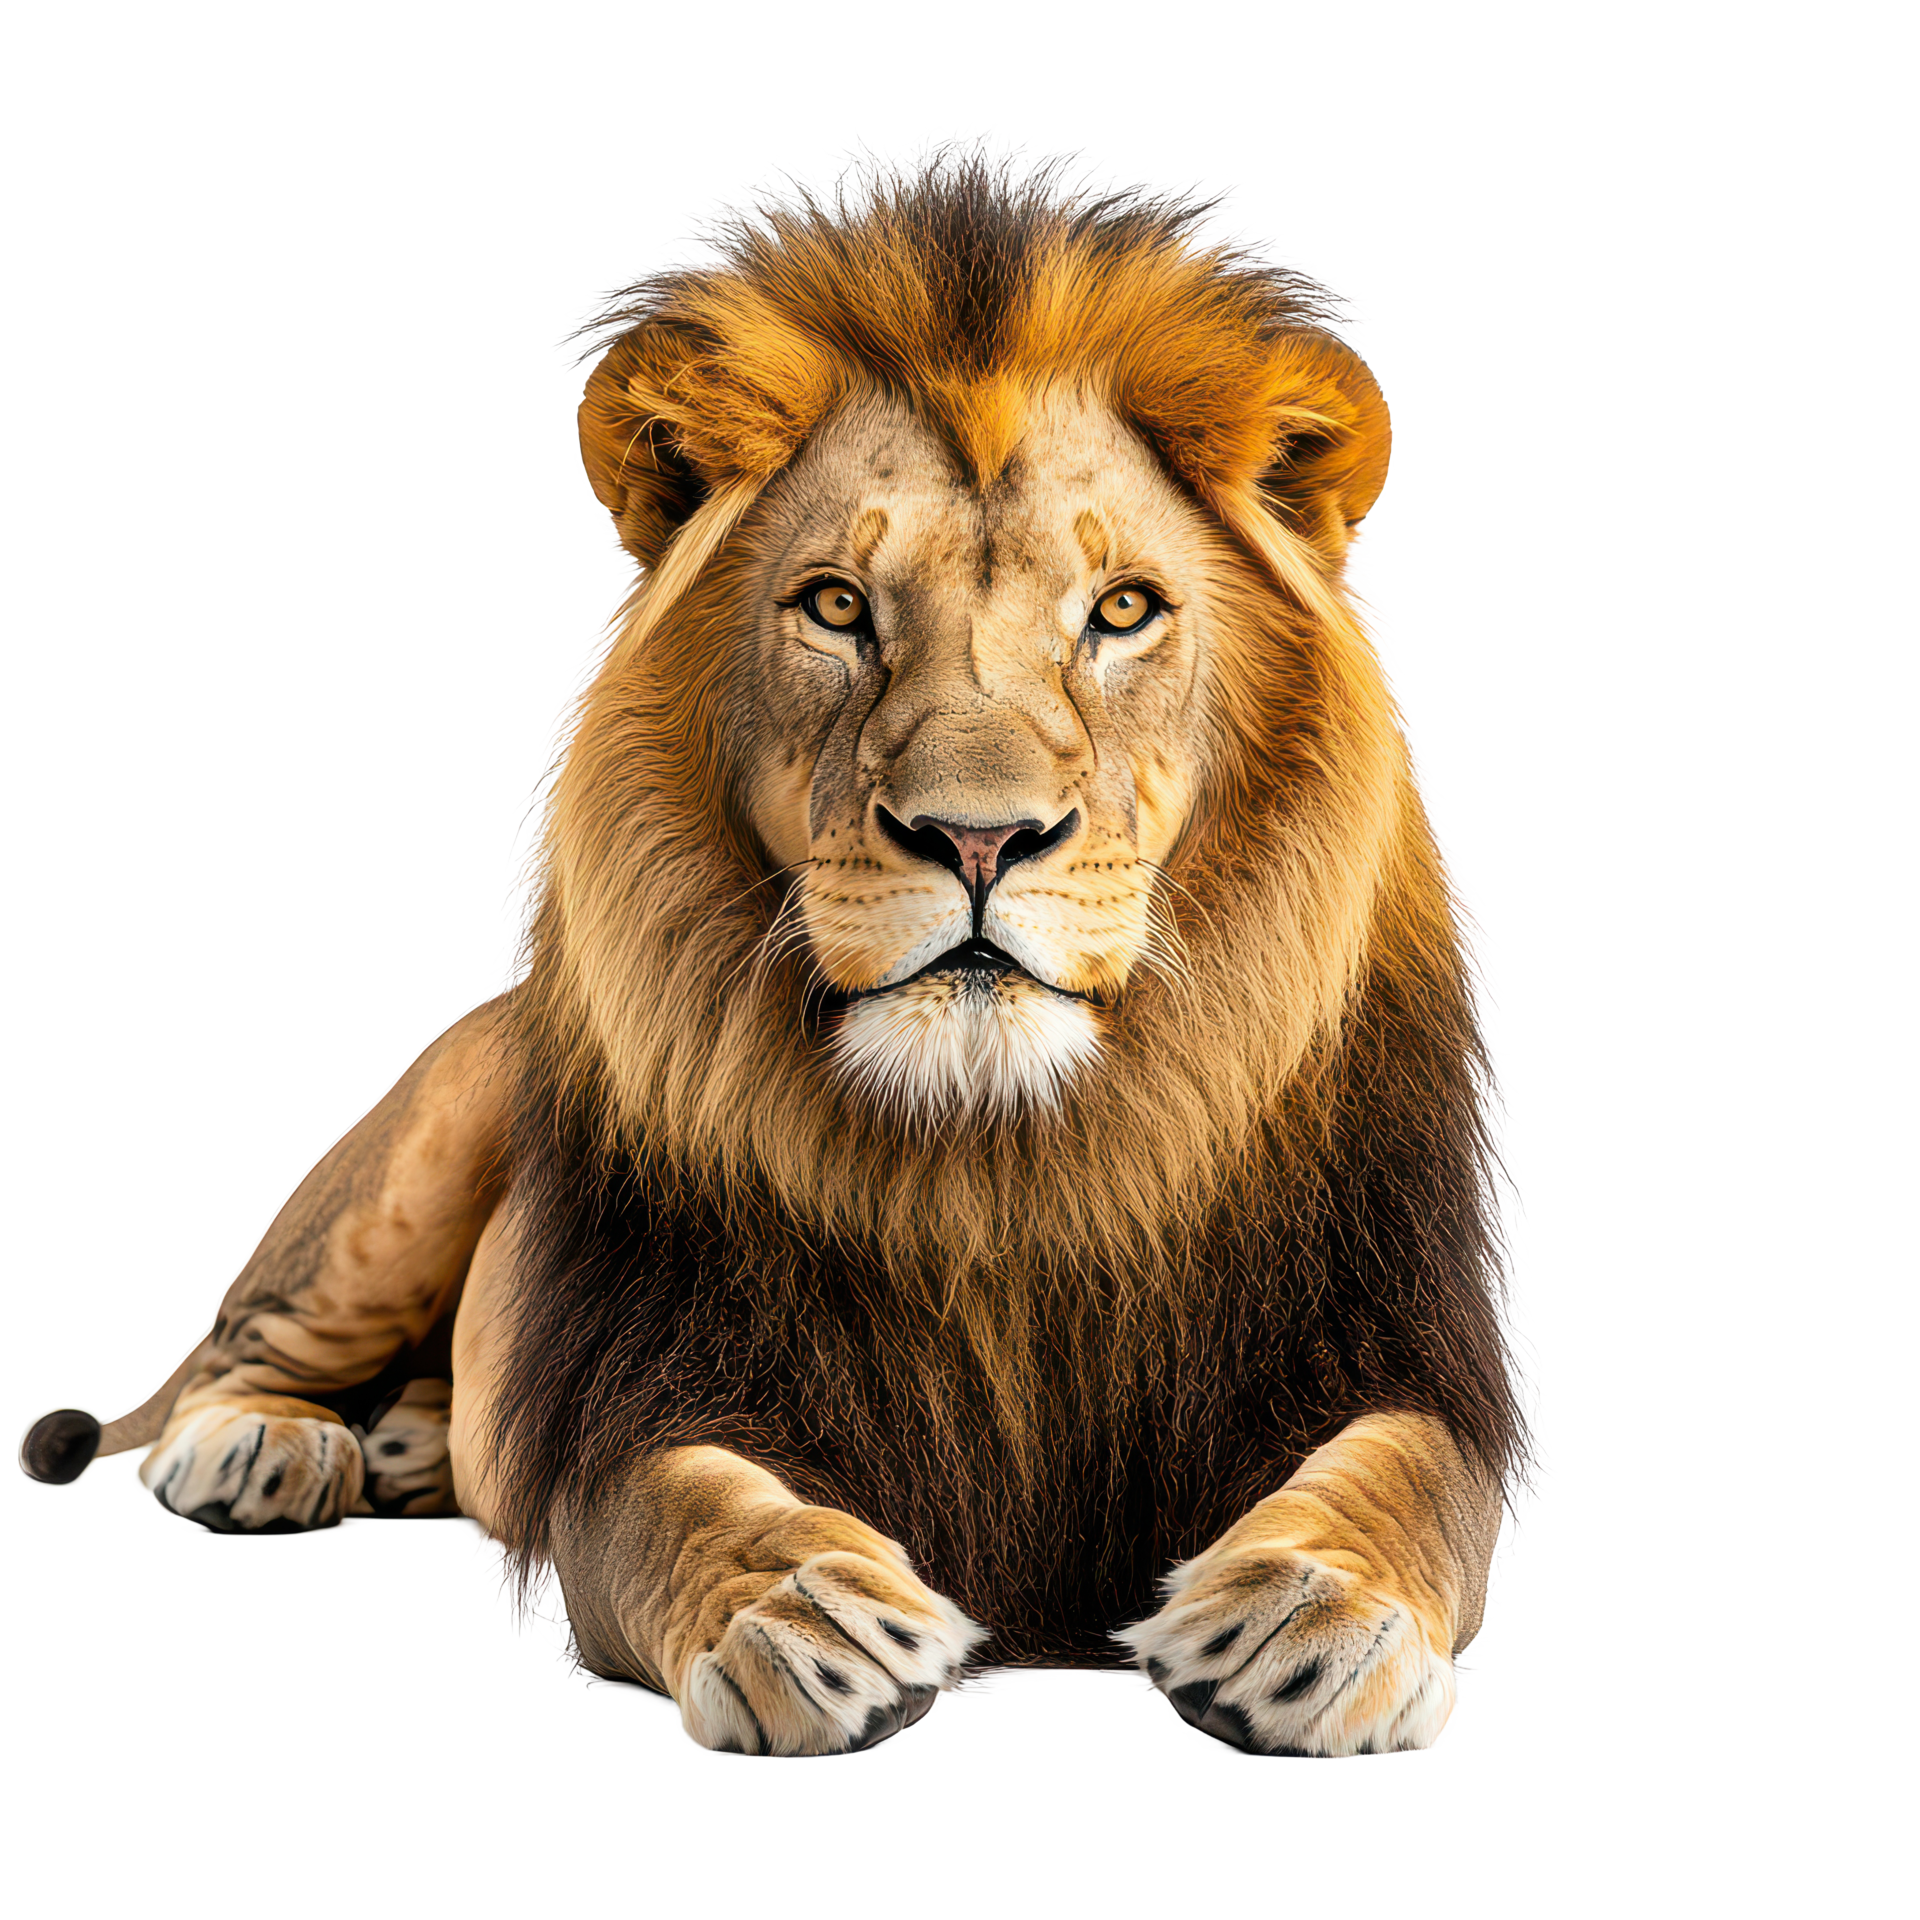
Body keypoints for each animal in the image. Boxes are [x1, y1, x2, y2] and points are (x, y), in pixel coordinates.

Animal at [18, 126, 1548, 1758]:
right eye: (834, 606)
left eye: (1124, 609)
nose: (978, 839)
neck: (1009, 1165)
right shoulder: (635, 1395)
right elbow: (681, 1503)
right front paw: (799, 1614)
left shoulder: (1393, 1350)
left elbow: (1407, 1480)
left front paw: (1314, 1614)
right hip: (404, 1169)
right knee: (243, 1343)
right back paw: (261, 1447)